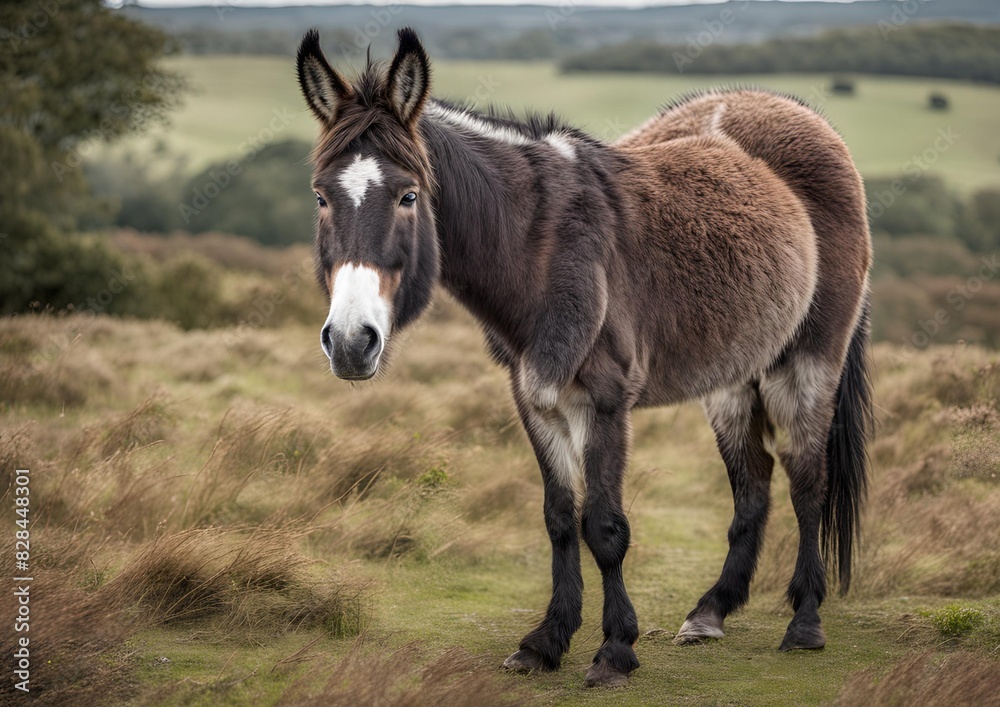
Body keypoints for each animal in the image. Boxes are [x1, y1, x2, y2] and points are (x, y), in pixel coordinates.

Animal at [295, 27, 873, 688]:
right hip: (733, 376)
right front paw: (547, 641)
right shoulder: (535, 396)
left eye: (408, 196)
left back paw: (805, 620)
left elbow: (605, 526)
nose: (350, 342)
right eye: (321, 196)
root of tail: (787, 107)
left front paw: (614, 650)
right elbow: (558, 517)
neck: (539, 247)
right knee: (754, 481)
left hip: (806, 363)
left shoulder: (604, 401)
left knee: (807, 479)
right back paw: (711, 611)